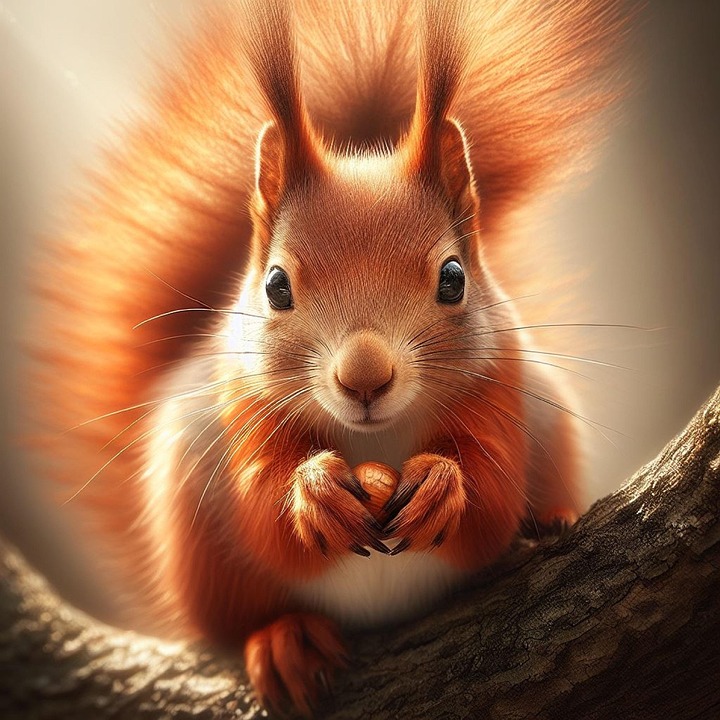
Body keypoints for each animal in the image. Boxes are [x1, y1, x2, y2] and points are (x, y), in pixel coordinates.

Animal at [28, 0, 628, 714]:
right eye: (275, 286)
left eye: (454, 277)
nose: (364, 378)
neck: (376, 441)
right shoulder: (241, 413)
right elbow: (265, 512)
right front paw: (315, 494)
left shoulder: (500, 390)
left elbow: (490, 494)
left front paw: (441, 486)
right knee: (241, 618)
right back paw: (284, 641)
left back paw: (549, 521)